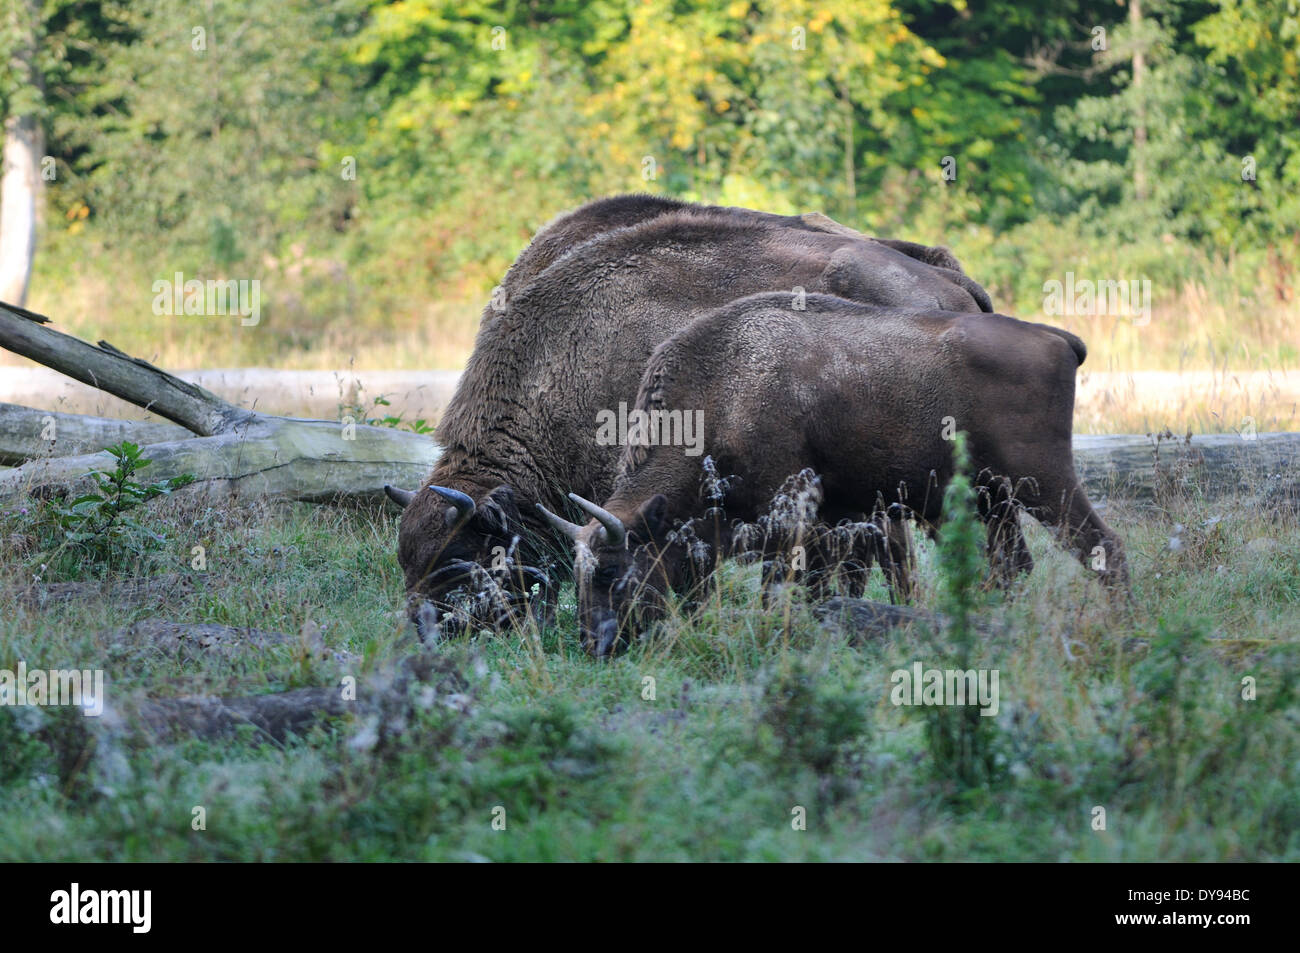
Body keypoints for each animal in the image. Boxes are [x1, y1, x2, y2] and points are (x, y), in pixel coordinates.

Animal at [538, 291, 1129, 657]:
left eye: (612, 573)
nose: (595, 646)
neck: (725, 392)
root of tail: (1059, 340)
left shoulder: (791, 519)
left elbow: (782, 588)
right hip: (995, 503)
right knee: (1012, 569)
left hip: (1047, 485)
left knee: (1103, 548)